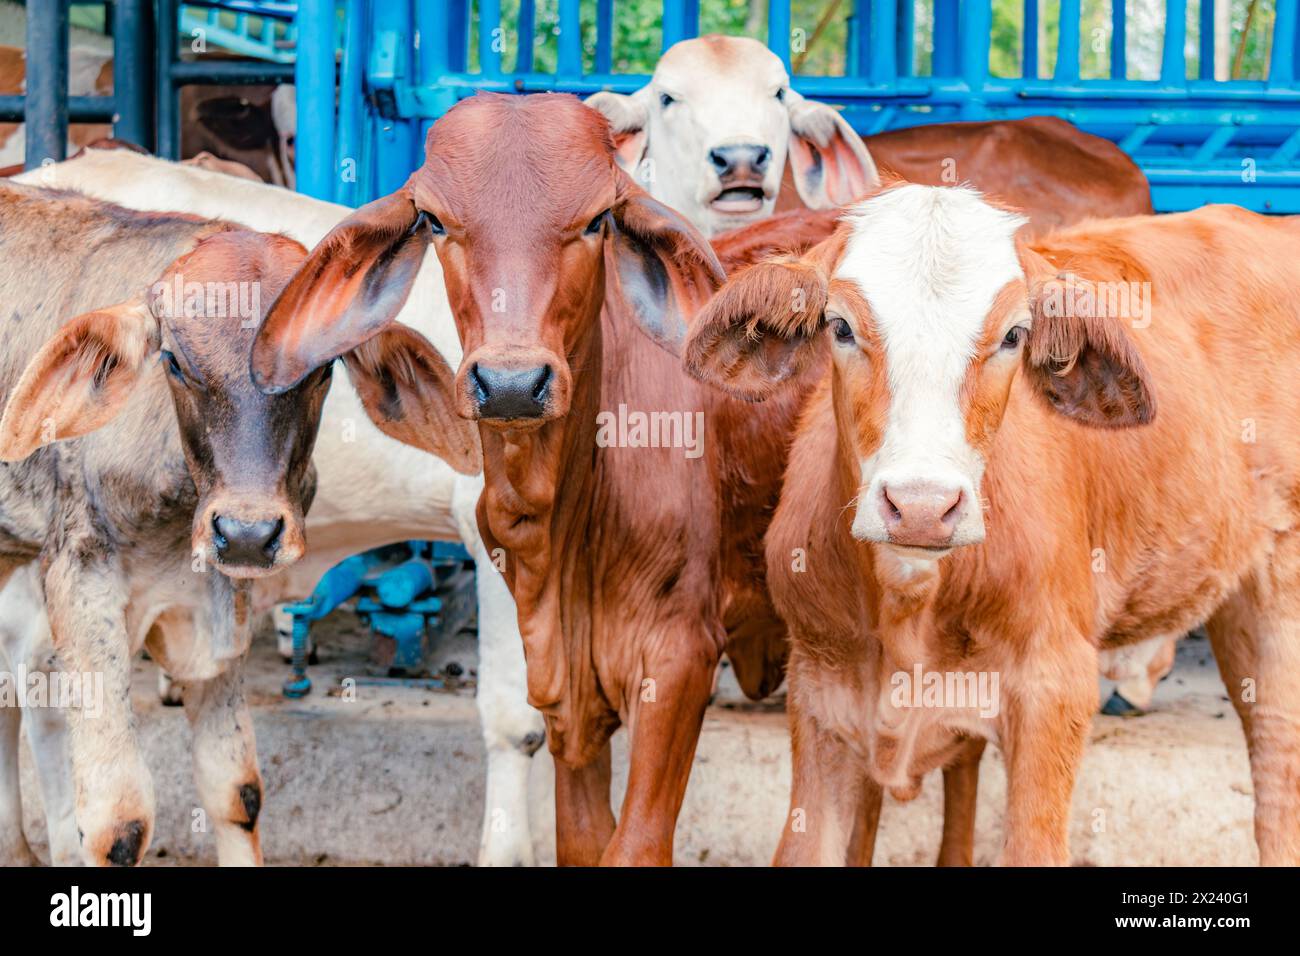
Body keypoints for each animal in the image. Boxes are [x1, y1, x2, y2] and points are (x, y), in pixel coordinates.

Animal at [683, 183, 1300, 866]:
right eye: (840, 326)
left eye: (1014, 335)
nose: (922, 505)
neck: (910, 604)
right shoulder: (819, 695)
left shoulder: (1055, 688)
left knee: (1277, 760)